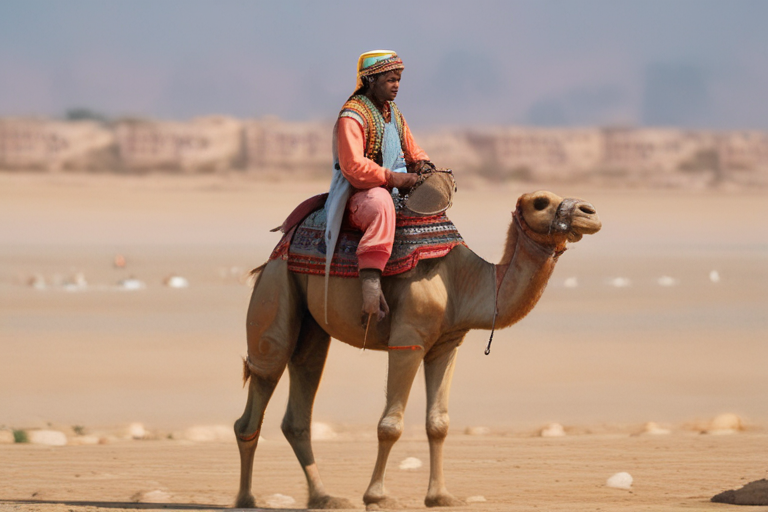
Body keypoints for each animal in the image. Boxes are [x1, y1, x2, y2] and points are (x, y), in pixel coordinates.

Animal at [234, 190, 601, 510]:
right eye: (541, 202)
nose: (590, 213)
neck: (463, 280)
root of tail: (279, 248)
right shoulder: (408, 339)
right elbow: (390, 425)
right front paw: (378, 497)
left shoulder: (447, 344)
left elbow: (438, 423)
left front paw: (440, 497)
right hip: (278, 286)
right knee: (262, 380)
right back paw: (246, 499)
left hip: (312, 326)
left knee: (301, 395)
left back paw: (325, 498)